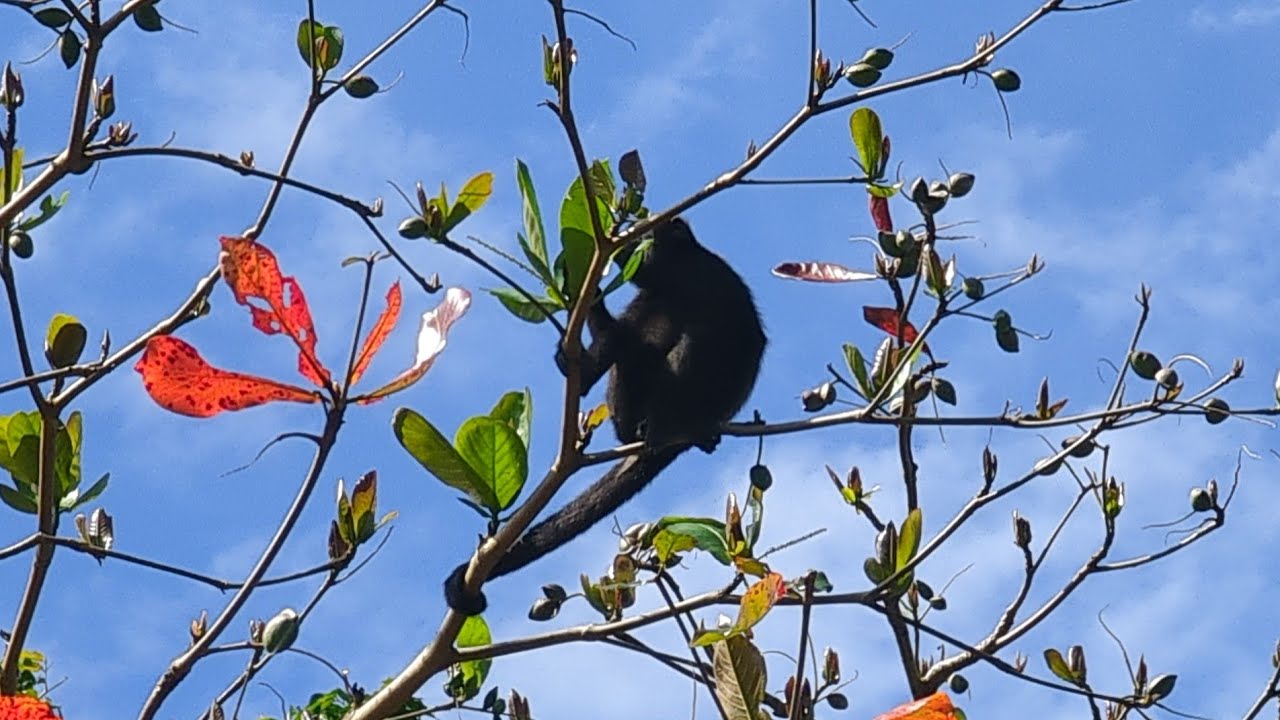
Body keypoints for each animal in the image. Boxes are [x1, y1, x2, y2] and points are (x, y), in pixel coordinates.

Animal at [445, 216, 766, 616]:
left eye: (644, 234)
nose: (624, 246)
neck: (675, 275)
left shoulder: (708, 276)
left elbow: (734, 338)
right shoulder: (649, 294)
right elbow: (619, 338)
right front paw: (585, 299)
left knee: (691, 342)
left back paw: (674, 424)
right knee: (631, 347)